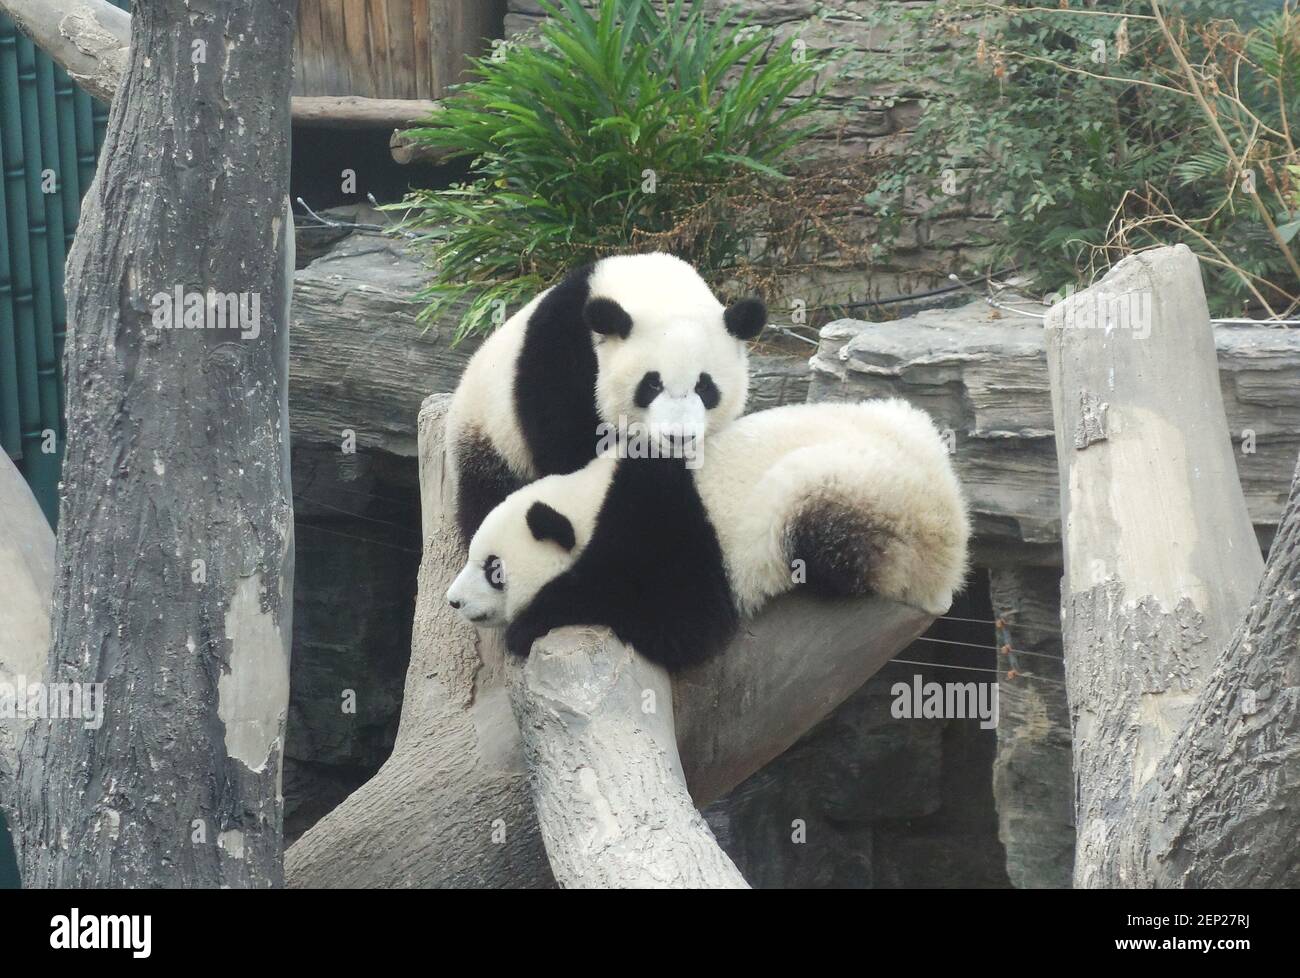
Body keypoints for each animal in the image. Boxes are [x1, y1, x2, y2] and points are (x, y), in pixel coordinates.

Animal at [445, 400, 970, 670]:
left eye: (494, 569)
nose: (453, 601)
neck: (589, 499)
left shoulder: (664, 525)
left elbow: (683, 624)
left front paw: (529, 624)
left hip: (864, 495)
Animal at [446, 252, 766, 544]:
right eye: (651, 384)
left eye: (704, 386)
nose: (678, 437)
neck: (651, 286)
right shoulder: (561, 355)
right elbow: (566, 448)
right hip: (493, 435)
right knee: (488, 495)